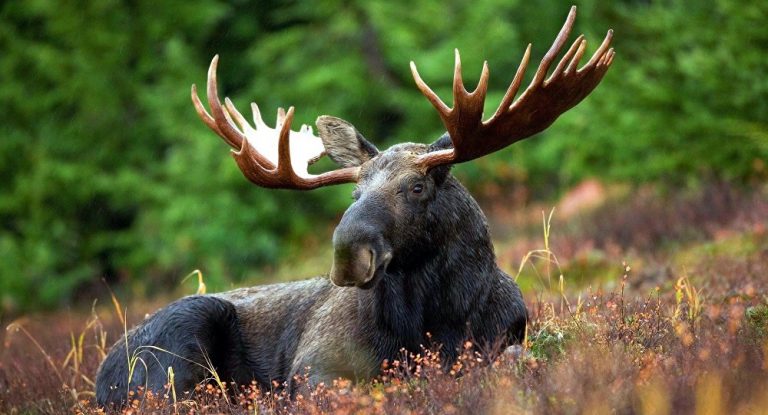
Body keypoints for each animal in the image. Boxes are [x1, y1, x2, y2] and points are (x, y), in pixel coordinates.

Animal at [95, 6, 614, 407]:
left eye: (417, 187)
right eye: (354, 193)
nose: (348, 254)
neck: (436, 320)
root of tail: (100, 378)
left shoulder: (505, 339)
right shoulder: (314, 367)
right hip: (179, 342)